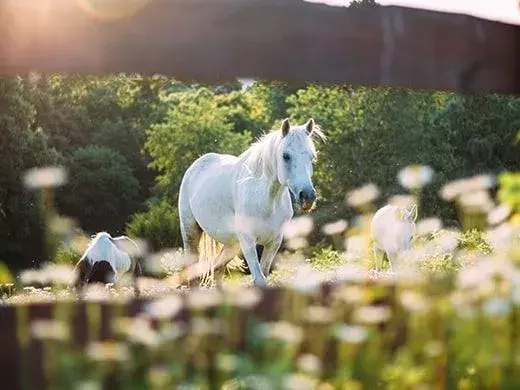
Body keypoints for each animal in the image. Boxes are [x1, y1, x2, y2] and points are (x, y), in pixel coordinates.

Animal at [177, 117, 324, 284]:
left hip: (232, 245)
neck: (266, 201)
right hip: (190, 233)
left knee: (218, 269)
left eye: (312, 157)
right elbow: (259, 279)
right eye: (286, 156)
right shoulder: (248, 242)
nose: (307, 196)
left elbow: (264, 274)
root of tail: (196, 165)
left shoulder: (274, 242)